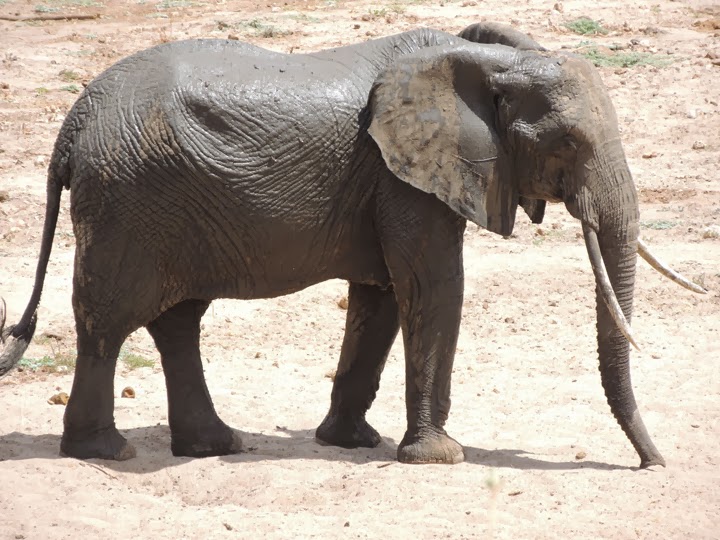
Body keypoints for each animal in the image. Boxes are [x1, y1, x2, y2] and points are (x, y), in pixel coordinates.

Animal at [0, 23, 705, 467]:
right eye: (568, 144)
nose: (654, 465)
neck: (481, 61)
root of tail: (72, 125)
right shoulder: (408, 178)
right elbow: (434, 287)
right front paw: (439, 457)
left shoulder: (396, 181)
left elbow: (384, 296)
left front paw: (352, 443)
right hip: (128, 202)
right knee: (108, 322)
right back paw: (105, 451)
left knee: (178, 321)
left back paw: (214, 446)